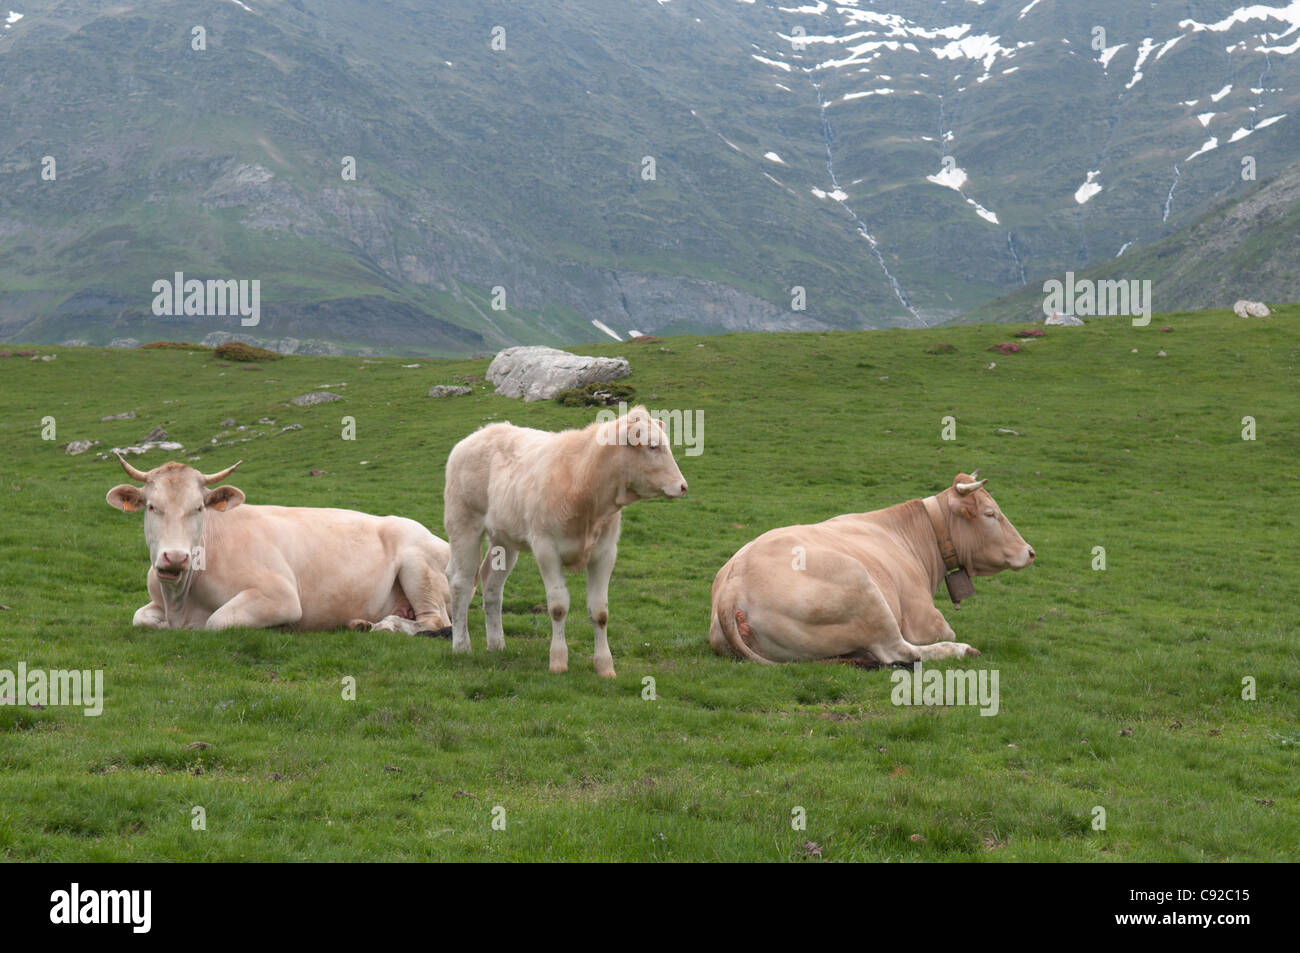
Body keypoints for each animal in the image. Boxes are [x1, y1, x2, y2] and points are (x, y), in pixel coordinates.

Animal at [106, 455, 452, 634]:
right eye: (152, 507)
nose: (175, 558)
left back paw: (387, 626)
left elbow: (217, 621)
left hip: (419, 566)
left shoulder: (280, 596)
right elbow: (139, 617)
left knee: (436, 620)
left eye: (199, 508)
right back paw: (362, 623)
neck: (181, 601)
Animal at [443, 405, 688, 677]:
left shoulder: (605, 553)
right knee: (461, 582)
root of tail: (481, 433)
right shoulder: (546, 549)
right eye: (653, 446)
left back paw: (496, 644)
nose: (683, 486)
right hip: (463, 525)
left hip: (504, 539)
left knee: (491, 582)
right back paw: (462, 646)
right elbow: (558, 607)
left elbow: (600, 611)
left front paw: (605, 665)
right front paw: (558, 661)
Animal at [709, 472, 1034, 665]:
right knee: (899, 651)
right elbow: (943, 631)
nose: (1029, 552)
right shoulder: (925, 619)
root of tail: (732, 585)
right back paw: (962, 650)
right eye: (991, 514)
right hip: (864, 588)